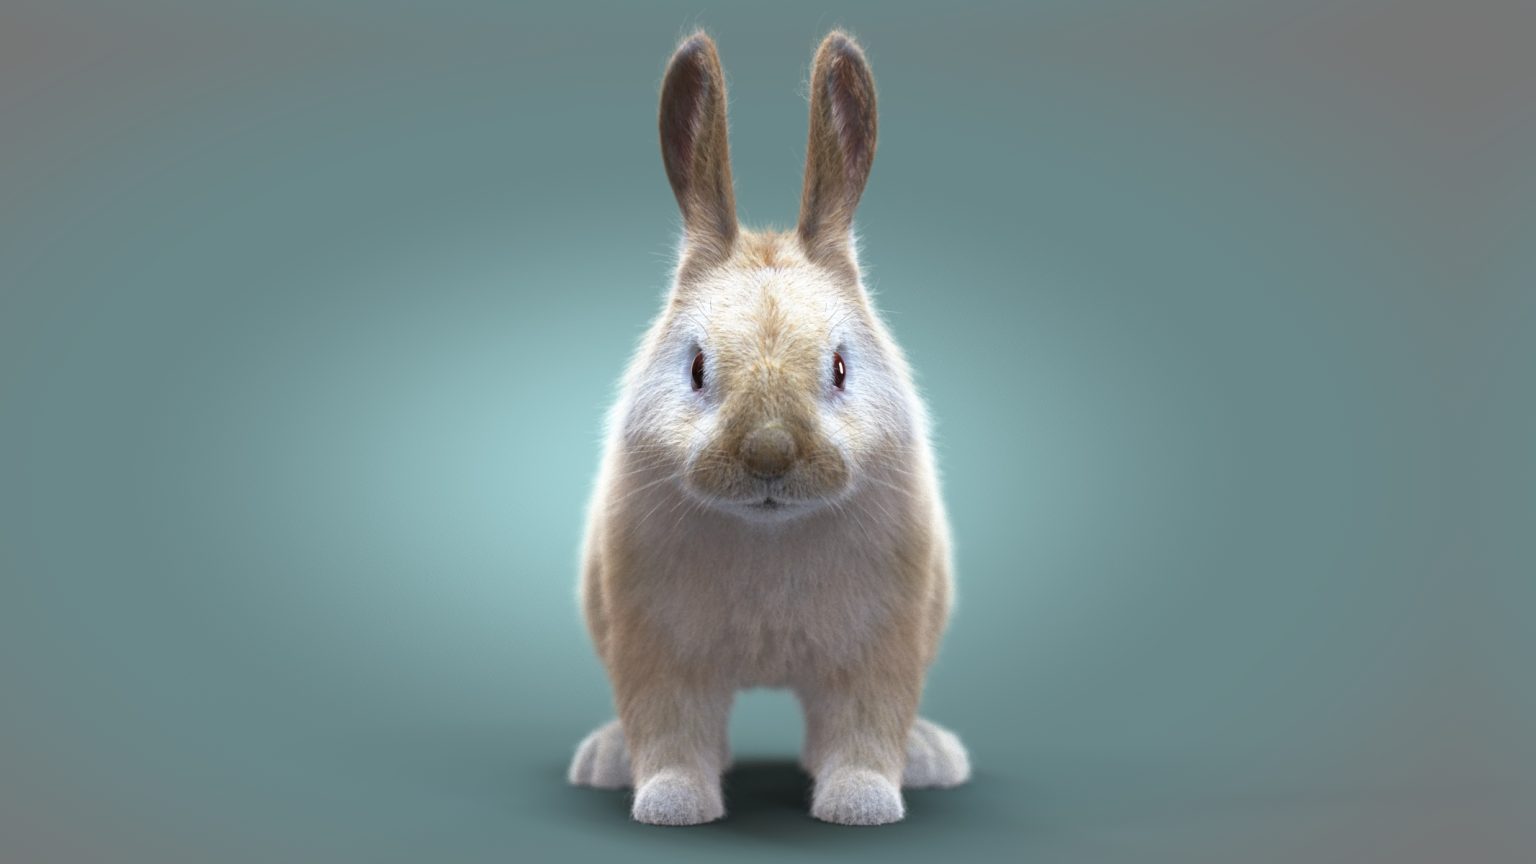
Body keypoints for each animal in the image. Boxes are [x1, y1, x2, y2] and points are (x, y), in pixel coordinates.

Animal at [567, 30, 970, 826]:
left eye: (841, 366)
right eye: (696, 367)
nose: (769, 454)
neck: (768, 532)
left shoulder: (882, 645)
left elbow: (867, 727)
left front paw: (861, 802)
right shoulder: (654, 648)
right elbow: (668, 729)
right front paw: (672, 802)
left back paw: (931, 758)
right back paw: (605, 760)